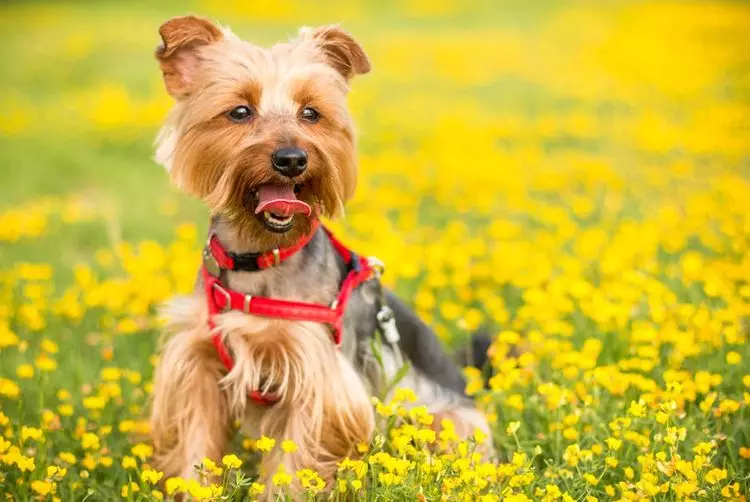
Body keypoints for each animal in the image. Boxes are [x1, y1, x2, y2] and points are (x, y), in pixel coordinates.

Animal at [150, 15, 496, 494]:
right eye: (239, 111)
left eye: (311, 113)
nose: (292, 158)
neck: (260, 256)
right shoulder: (197, 365)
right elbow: (196, 449)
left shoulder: (318, 377)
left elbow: (295, 463)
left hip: (445, 417)